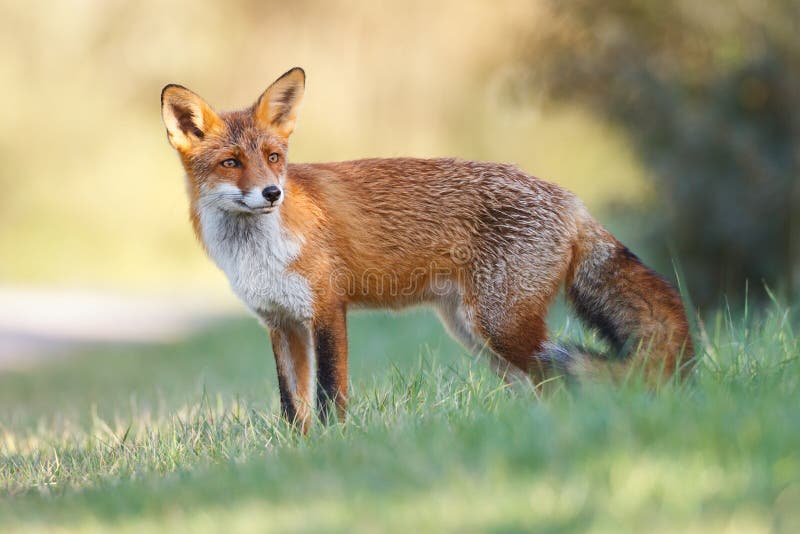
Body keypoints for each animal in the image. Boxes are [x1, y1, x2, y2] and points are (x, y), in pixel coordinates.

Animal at [161, 67, 694, 429]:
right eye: (231, 163)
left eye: (273, 158)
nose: (272, 193)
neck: (259, 252)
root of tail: (572, 201)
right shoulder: (280, 322)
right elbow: (293, 406)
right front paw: (300, 452)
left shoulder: (328, 310)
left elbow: (331, 395)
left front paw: (335, 444)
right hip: (476, 335)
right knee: (543, 385)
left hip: (502, 327)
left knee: (561, 379)